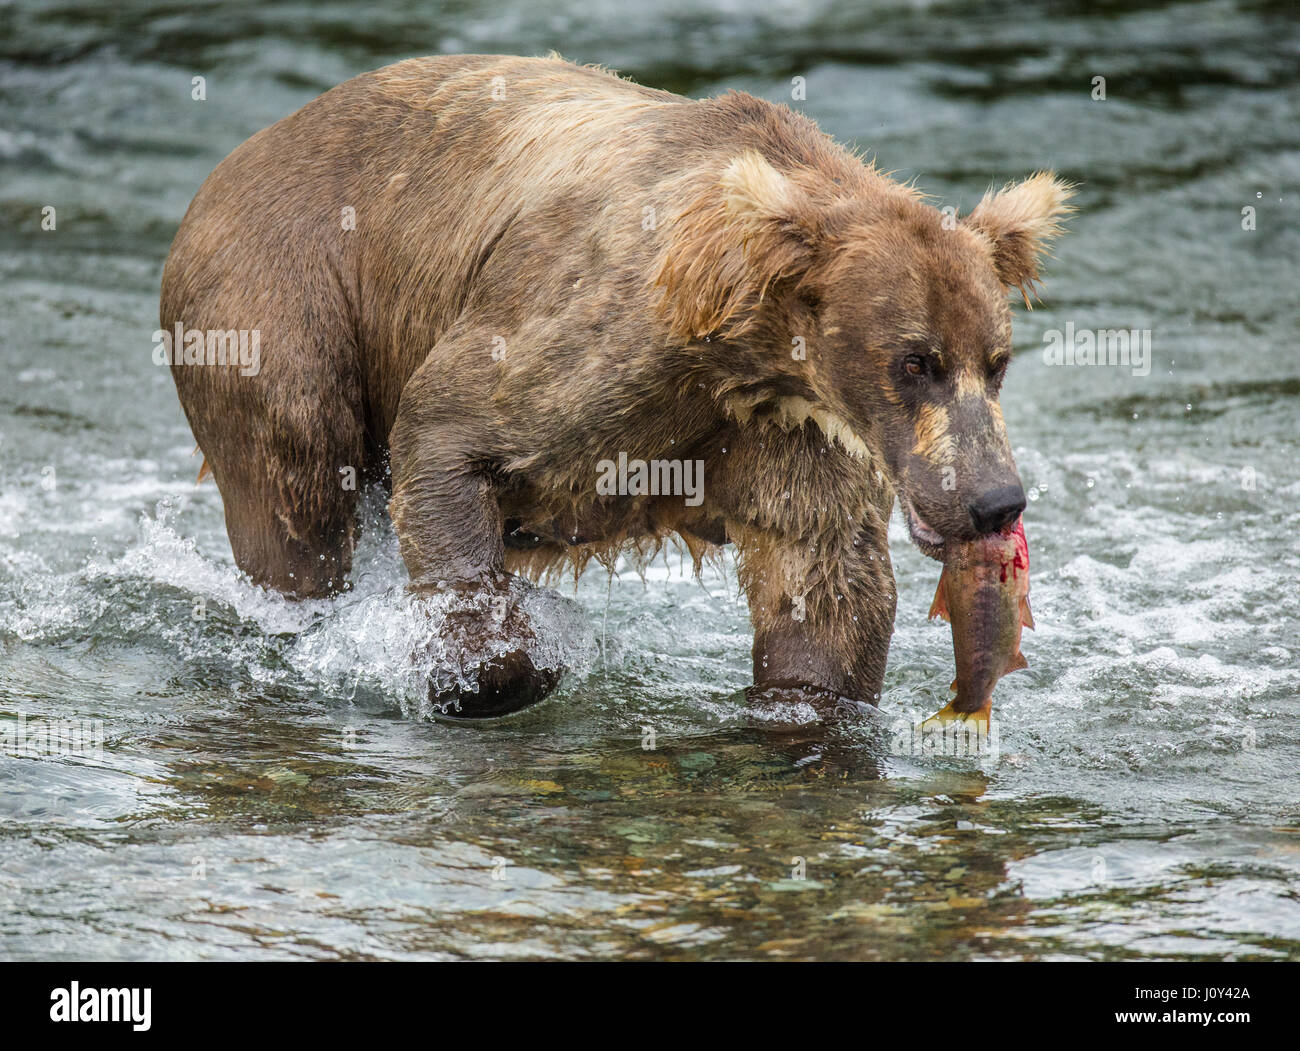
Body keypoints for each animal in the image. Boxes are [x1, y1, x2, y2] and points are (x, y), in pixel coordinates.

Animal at [159, 54, 1072, 719]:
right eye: (914, 361)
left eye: (997, 360)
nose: (995, 499)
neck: (736, 345)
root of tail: (236, 156)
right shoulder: (583, 345)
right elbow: (448, 433)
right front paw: (499, 668)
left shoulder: (790, 428)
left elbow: (821, 590)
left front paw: (805, 703)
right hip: (283, 295)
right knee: (298, 492)